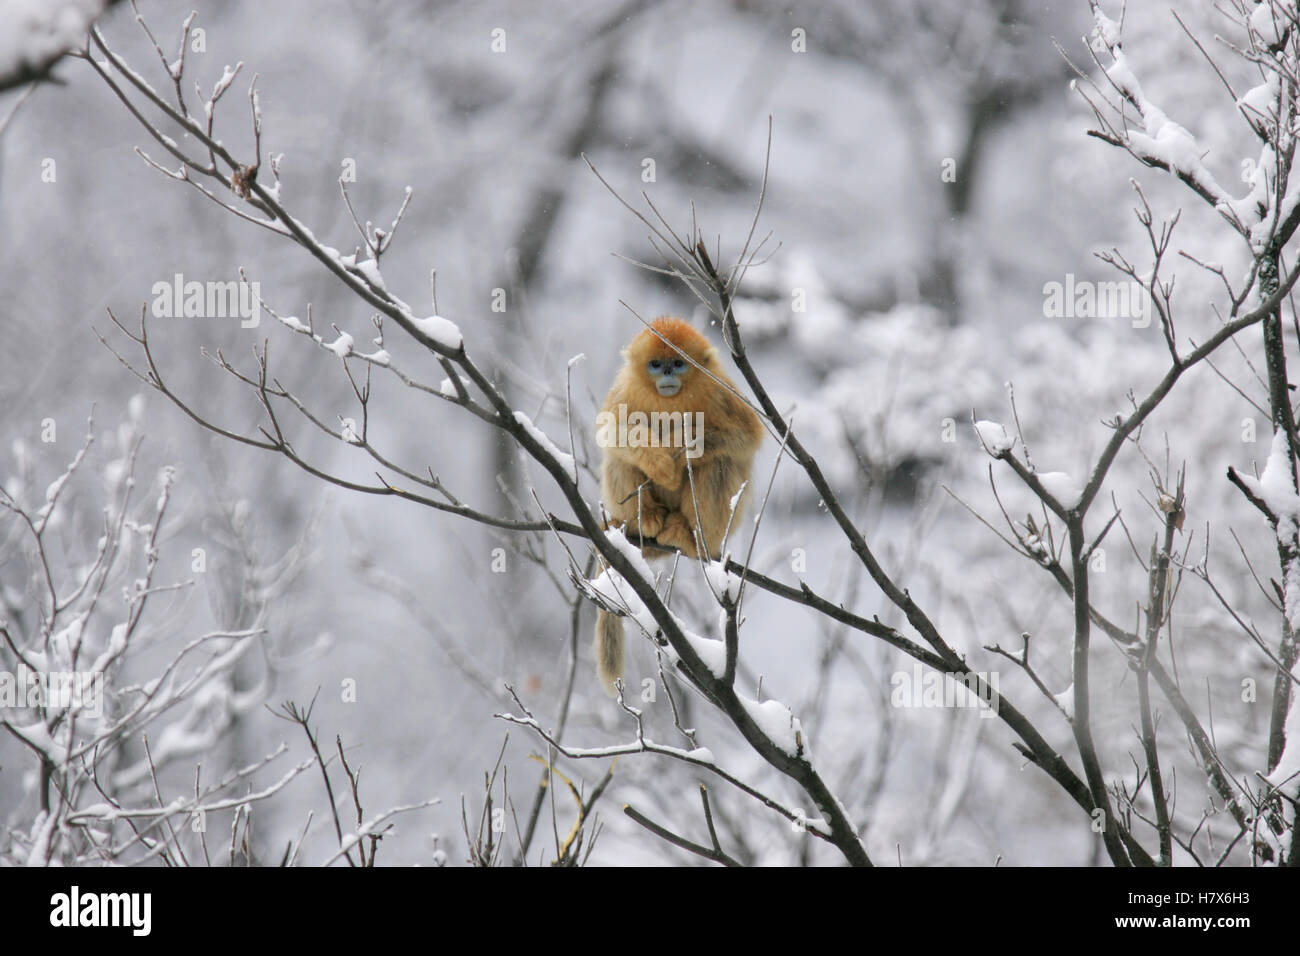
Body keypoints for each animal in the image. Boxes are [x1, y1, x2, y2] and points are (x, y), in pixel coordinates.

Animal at [592, 316, 764, 693]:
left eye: (678, 363)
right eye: (656, 364)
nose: (668, 374)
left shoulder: (719, 388)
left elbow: (747, 435)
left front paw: (679, 442)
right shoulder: (625, 389)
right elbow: (611, 430)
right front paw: (658, 458)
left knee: (720, 462)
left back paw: (690, 536)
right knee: (619, 454)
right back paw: (645, 518)